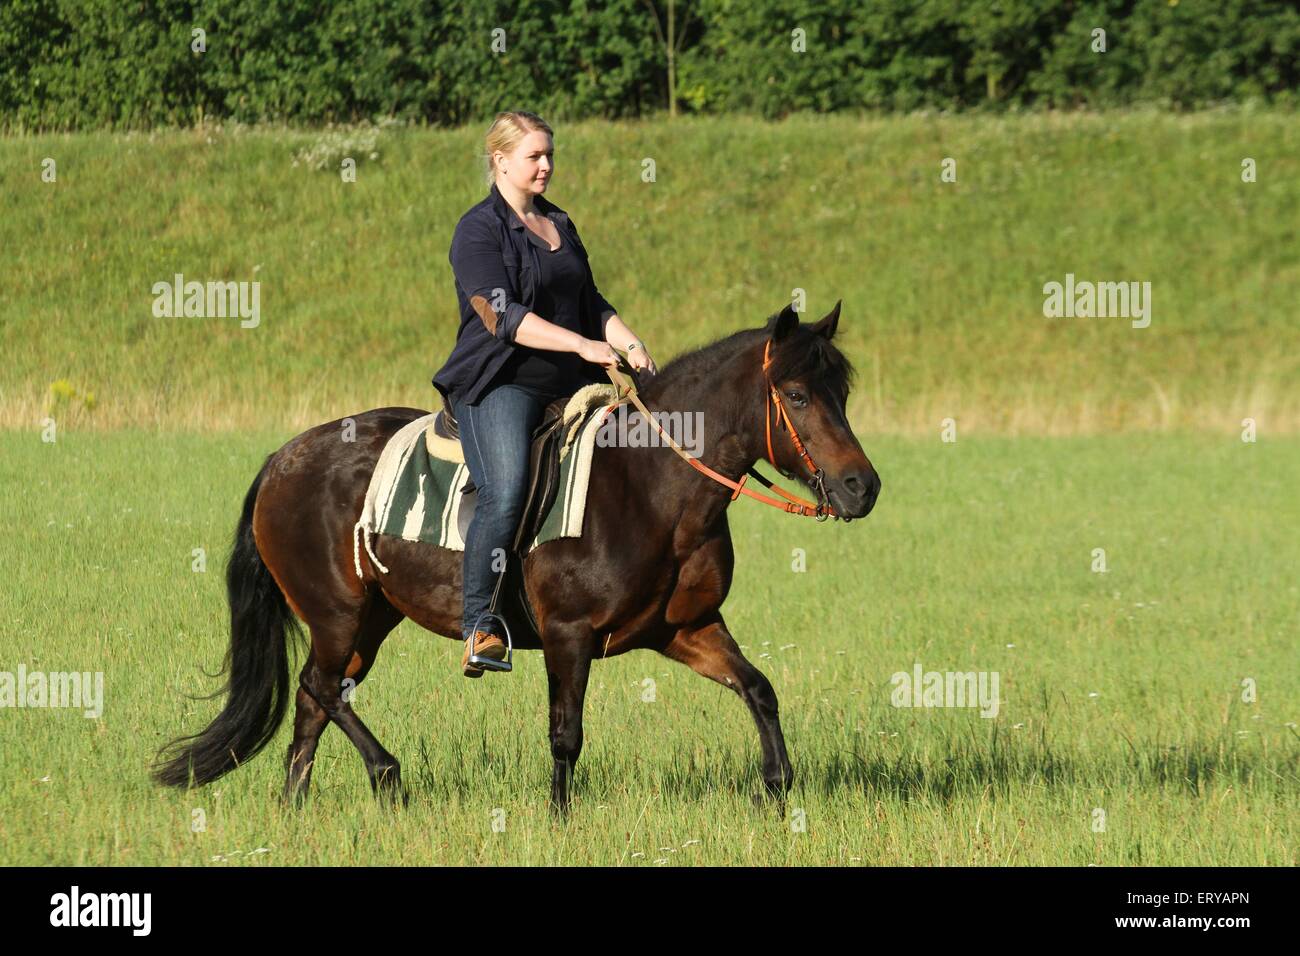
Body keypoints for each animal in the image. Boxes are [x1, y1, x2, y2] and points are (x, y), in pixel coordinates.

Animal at [152, 301, 881, 812]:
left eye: (842, 393)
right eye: (796, 395)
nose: (862, 487)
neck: (649, 487)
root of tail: (282, 457)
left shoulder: (685, 629)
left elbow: (759, 689)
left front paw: (776, 787)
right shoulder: (568, 634)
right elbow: (566, 734)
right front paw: (561, 820)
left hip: (372, 618)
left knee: (314, 703)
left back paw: (295, 808)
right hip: (337, 613)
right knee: (320, 688)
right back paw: (387, 776)